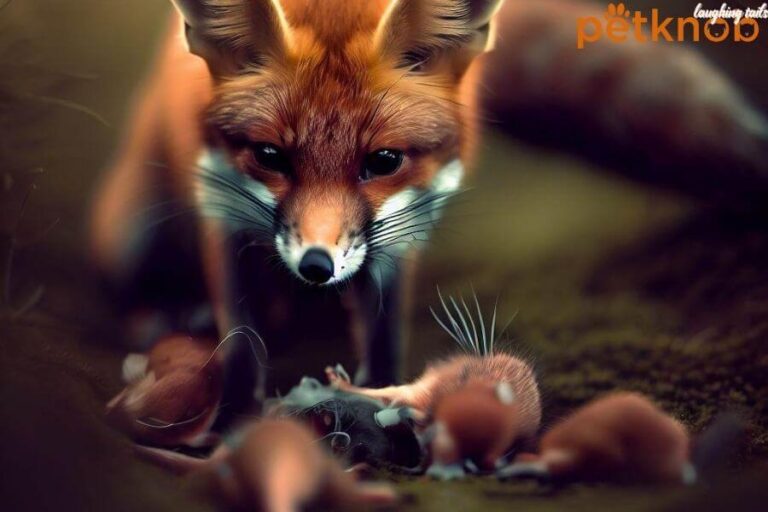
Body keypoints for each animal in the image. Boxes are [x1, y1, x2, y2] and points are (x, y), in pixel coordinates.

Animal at [91, 0, 767, 432]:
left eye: (383, 161)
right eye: (270, 156)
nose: (316, 266)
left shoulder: (394, 242)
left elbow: (384, 339)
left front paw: (374, 409)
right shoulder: (224, 220)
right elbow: (242, 342)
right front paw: (230, 424)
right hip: (132, 229)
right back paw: (161, 315)